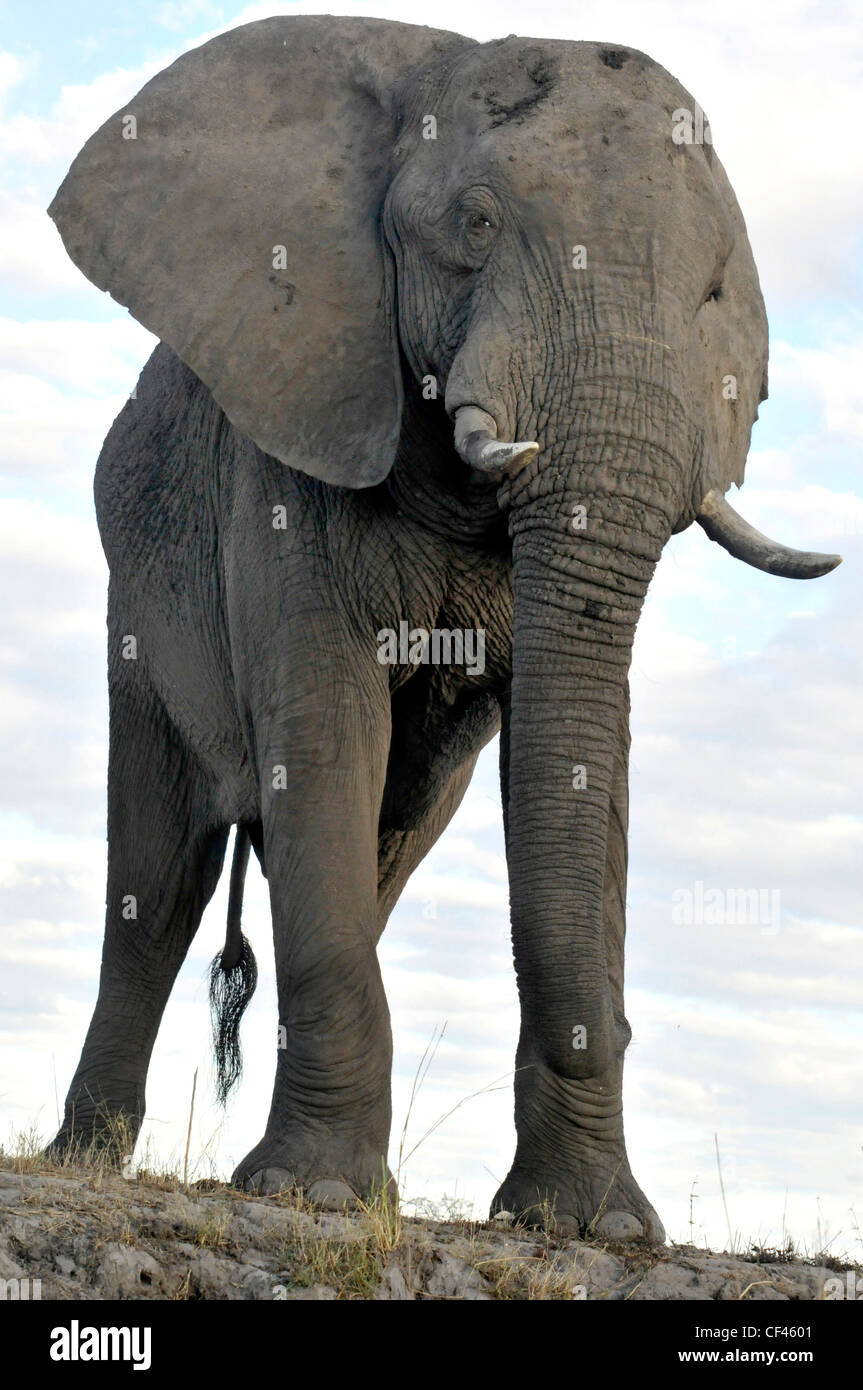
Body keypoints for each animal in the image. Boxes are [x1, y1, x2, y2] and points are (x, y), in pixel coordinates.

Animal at [47, 15, 840, 1238]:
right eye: (473, 228)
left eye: (714, 290)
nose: (609, 1035)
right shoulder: (292, 441)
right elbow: (324, 729)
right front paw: (314, 1196)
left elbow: (581, 768)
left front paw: (591, 1225)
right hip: (136, 604)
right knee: (158, 879)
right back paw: (84, 1163)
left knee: (378, 851)